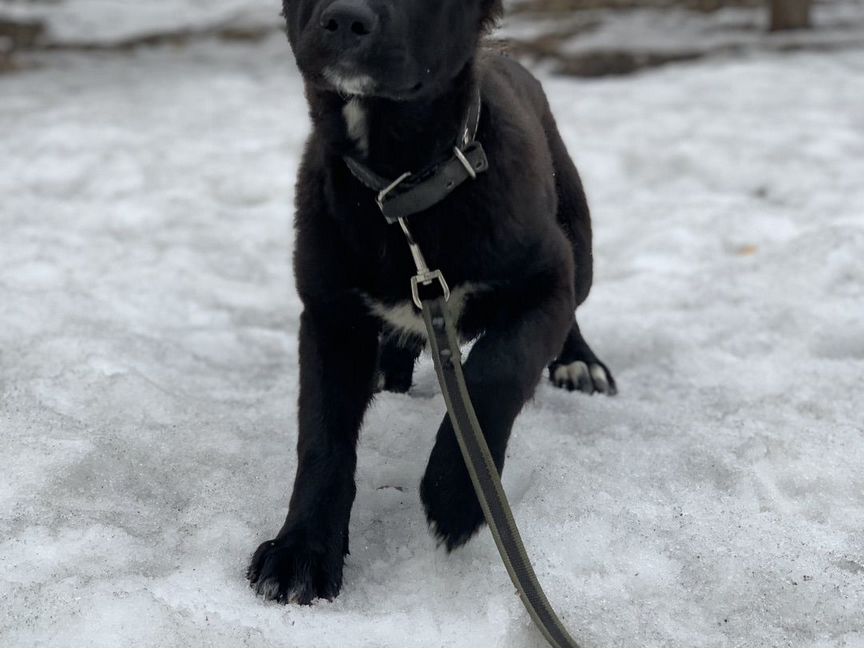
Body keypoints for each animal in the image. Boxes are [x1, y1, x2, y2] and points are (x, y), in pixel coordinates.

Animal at [246, 0, 616, 604]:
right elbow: (322, 438)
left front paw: (457, 493)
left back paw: (579, 363)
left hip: (577, 245)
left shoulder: (546, 280)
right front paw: (302, 549)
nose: (344, 19)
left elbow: (497, 370)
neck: (398, 195)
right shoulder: (329, 315)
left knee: (571, 316)